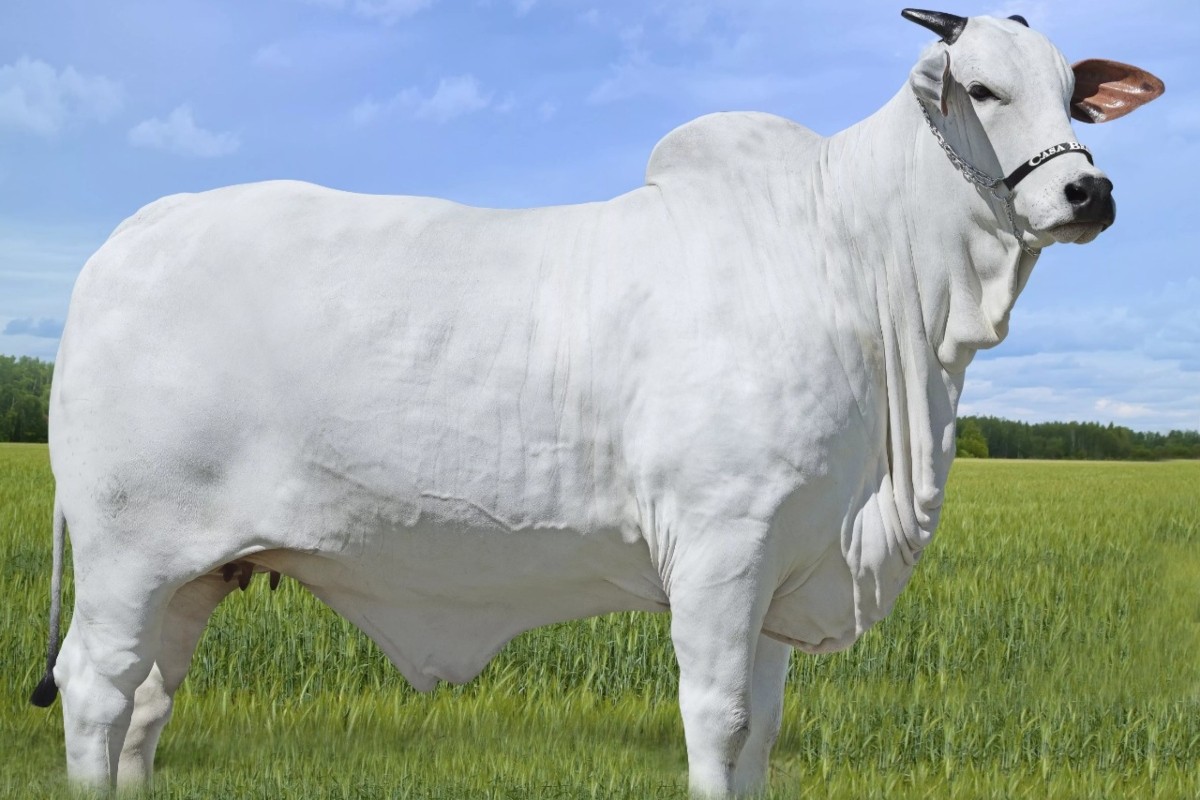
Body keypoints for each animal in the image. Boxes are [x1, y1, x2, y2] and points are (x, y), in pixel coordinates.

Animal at [30, 9, 1162, 797]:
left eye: (1073, 94)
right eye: (984, 87)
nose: (1089, 193)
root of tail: (137, 232)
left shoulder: (785, 569)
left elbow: (763, 728)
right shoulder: (721, 548)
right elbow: (717, 721)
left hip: (195, 571)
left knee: (146, 706)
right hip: (127, 554)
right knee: (95, 689)